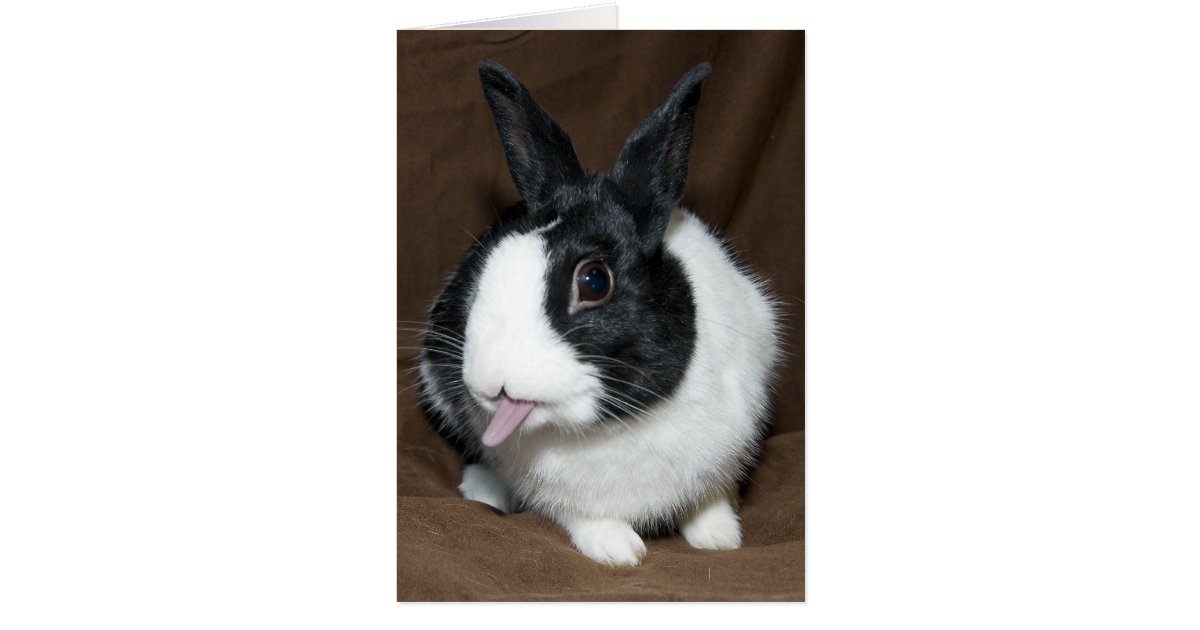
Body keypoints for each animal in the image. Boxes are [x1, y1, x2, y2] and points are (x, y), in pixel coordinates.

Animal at [414, 59, 782, 567]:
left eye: (593, 281)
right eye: (489, 263)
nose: (488, 381)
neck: (618, 425)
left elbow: (710, 500)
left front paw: (720, 536)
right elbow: (584, 517)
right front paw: (619, 551)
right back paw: (484, 489)